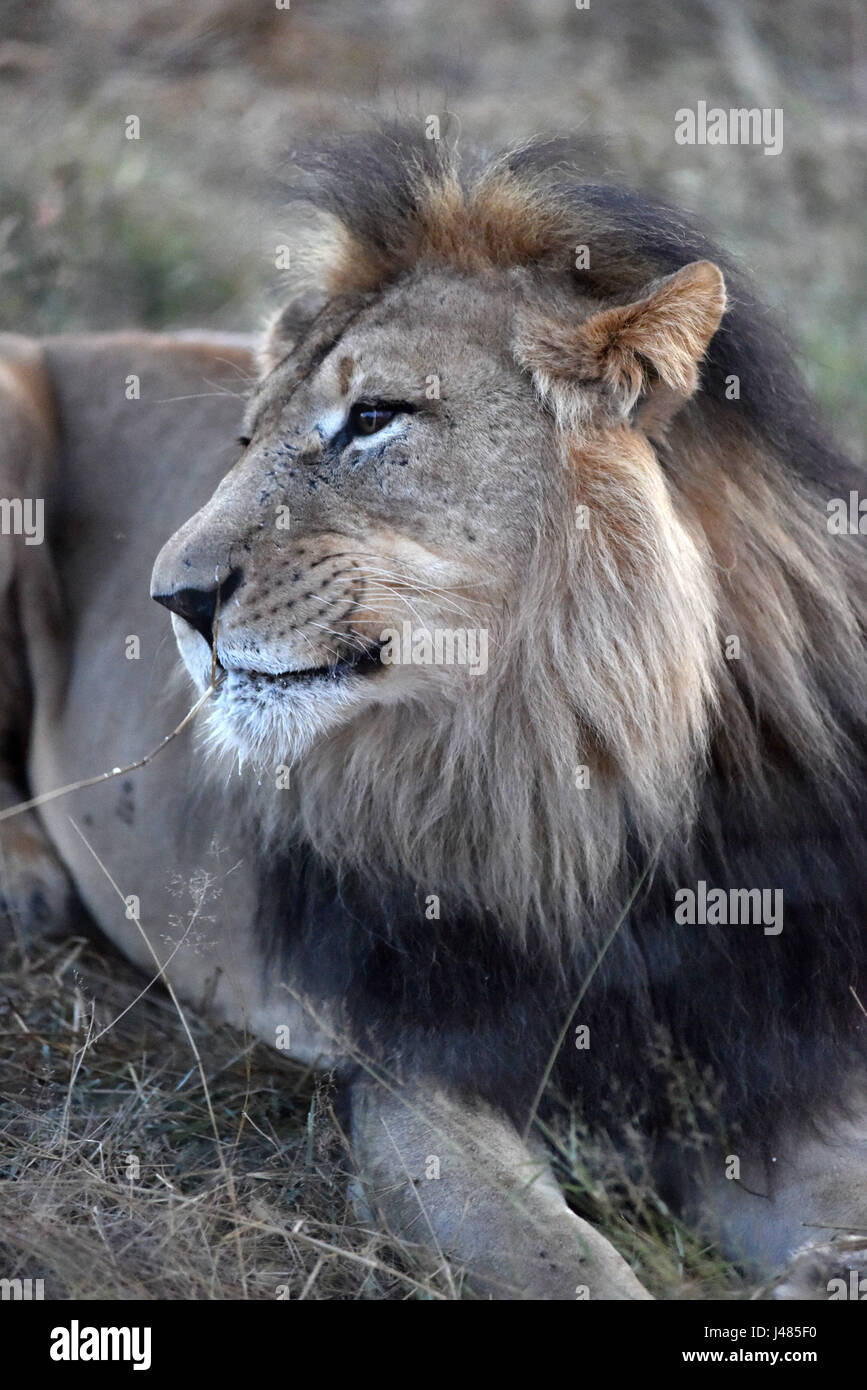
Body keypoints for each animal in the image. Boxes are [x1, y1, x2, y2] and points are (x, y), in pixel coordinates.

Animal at [1, 128, 866, 1300]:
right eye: (242, 440)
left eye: (373, 418)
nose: (171, 599)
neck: (589, 784)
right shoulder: (413, 1080)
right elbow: (568, 1267)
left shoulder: (777, 1066)